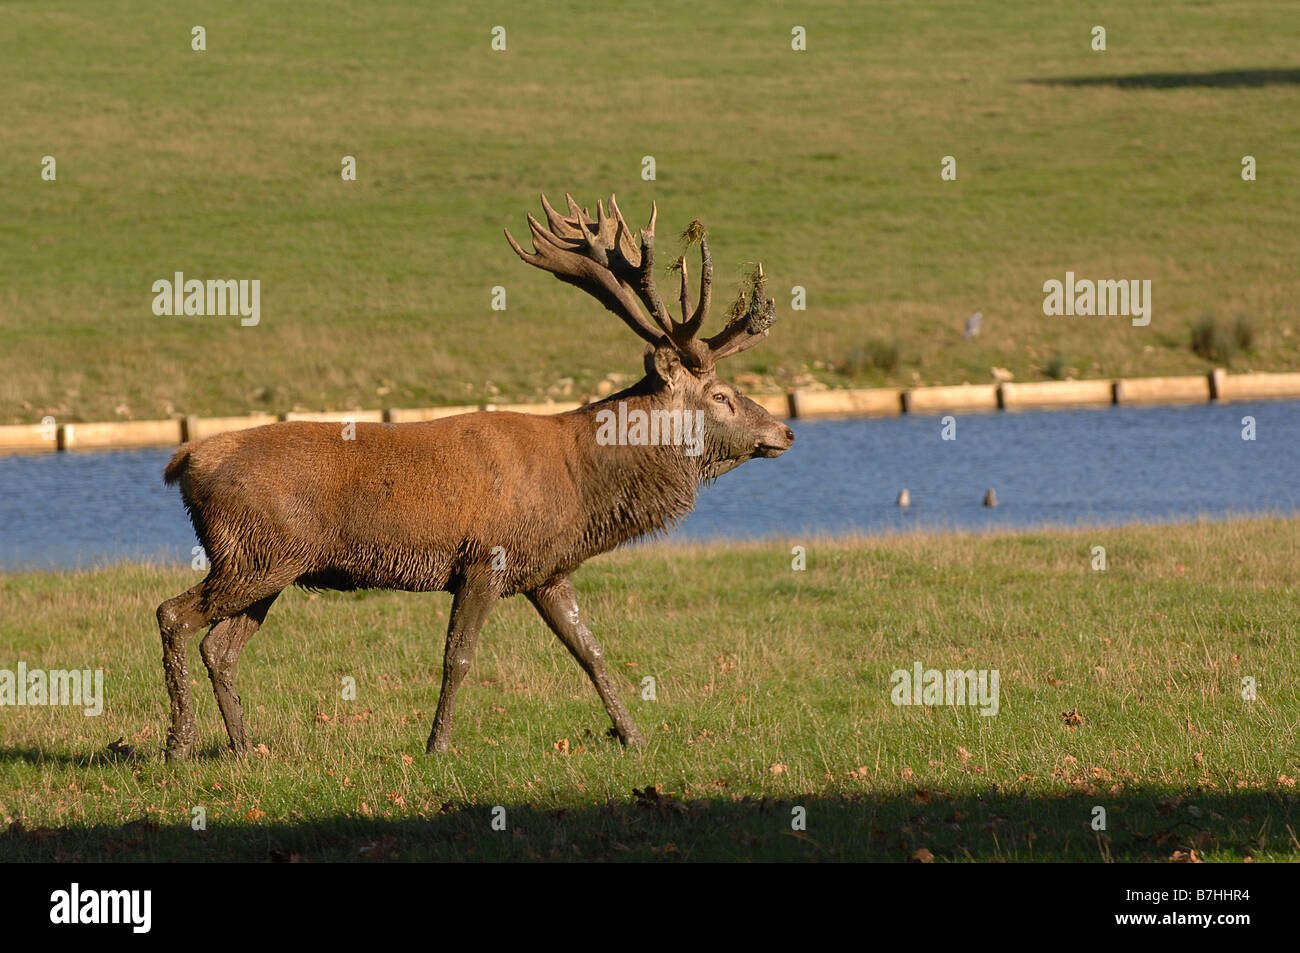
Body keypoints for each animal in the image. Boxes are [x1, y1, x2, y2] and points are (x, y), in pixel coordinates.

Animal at [156, 193, 794, 760]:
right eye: (721, 395)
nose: (785, 431)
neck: (582, 486)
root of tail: (184, 461)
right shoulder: (487, 557)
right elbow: (458, 657)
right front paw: (436, 745)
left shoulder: (548, 570)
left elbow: (591, 651)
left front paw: (634, 738)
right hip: (253, 555)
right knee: (173, 616)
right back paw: (179, 746)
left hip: (271, 567)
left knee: (220, 647)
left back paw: (244, 748)